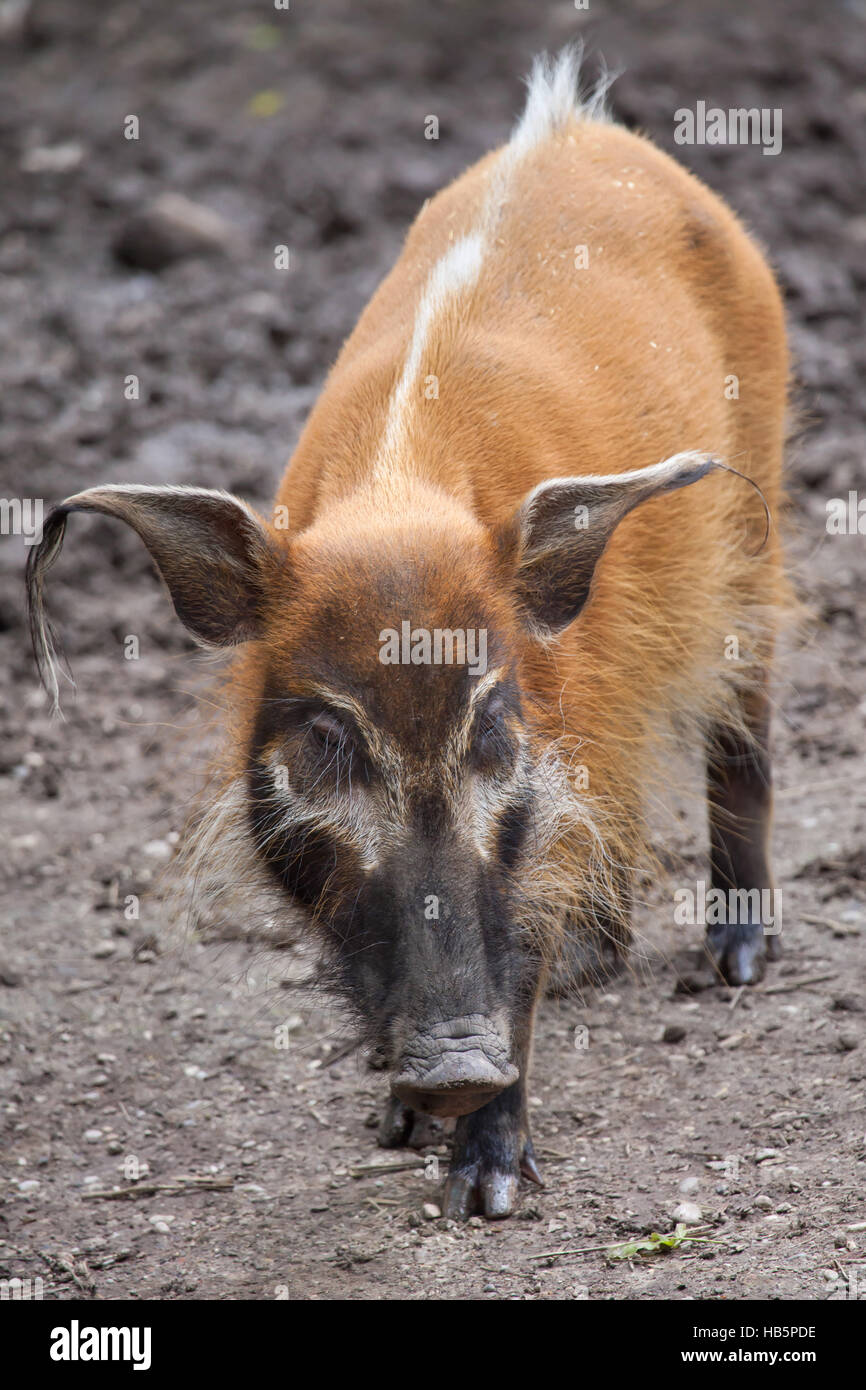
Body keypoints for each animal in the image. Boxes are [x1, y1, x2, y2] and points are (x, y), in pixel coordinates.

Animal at [26, 49, 790, 1218]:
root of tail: (575, 121)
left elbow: (526, 927)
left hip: (756, 530)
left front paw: (489, 1193)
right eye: (327, 738)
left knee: (739, 731)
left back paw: (736, 961)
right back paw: (599, 965)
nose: (453, 1066)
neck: (397, 495)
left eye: (494, 732)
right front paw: (393, 1127)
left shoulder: (542, 775)